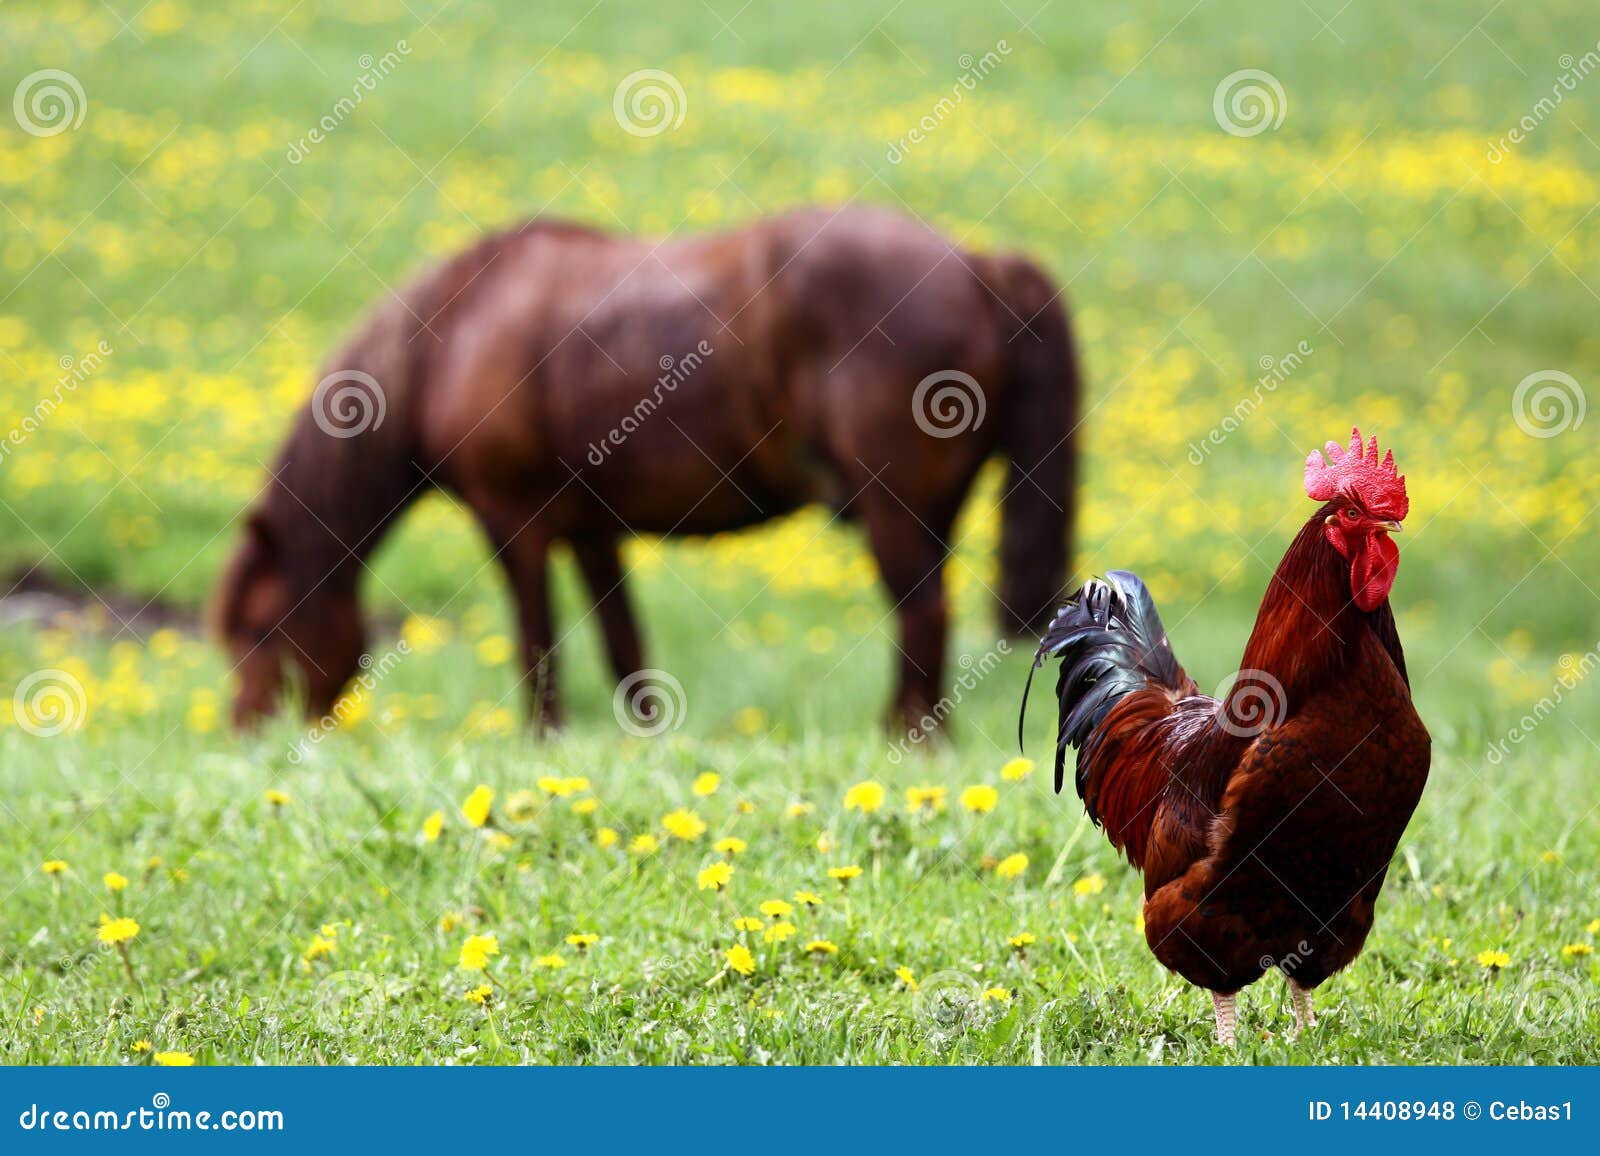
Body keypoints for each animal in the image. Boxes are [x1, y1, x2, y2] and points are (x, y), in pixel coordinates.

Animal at [215, 205, 1082, 734]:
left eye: (261, 629)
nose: (247, 734)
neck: (452, 338)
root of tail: (979, 265)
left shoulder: (513, 520)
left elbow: (539, 646)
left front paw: (542, 741)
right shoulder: (590, 528)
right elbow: (623, 648)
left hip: (893, 511)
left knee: (923, 618)